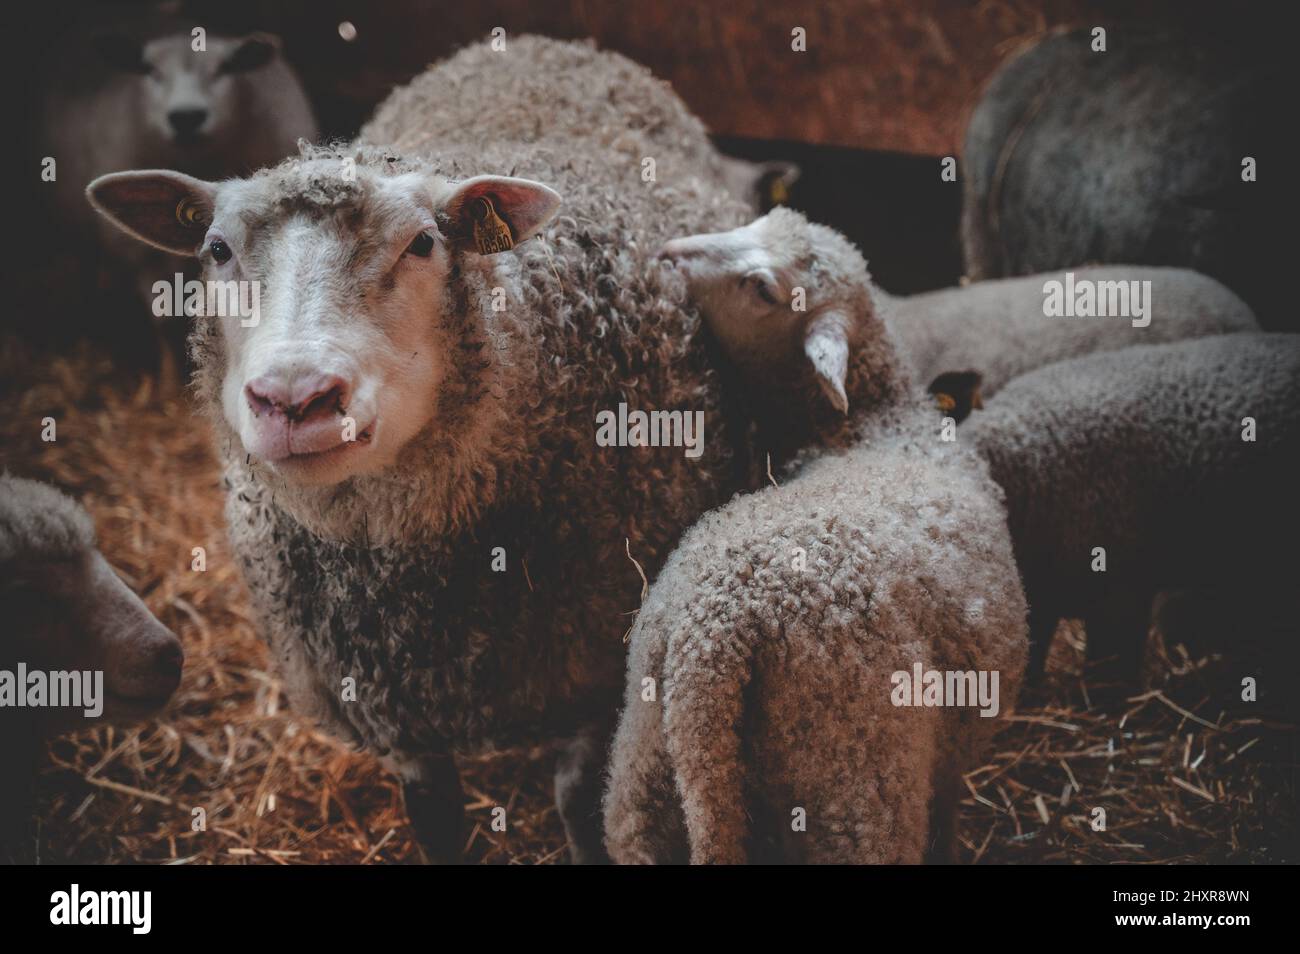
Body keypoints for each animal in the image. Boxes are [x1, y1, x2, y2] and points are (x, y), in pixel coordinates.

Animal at [84, 33, 756, 863]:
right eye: (215, 250)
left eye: (425, 243)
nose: (294, 401)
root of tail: (547, 41)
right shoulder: (391, 701)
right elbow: (433, 812)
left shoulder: (593, 672)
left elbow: (577, 802)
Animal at [605, 207, 1027, 863]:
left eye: (761, 288)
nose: (668, 252)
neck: (876, 425)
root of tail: (712, 640)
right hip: (852, 784)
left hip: (645, 774)